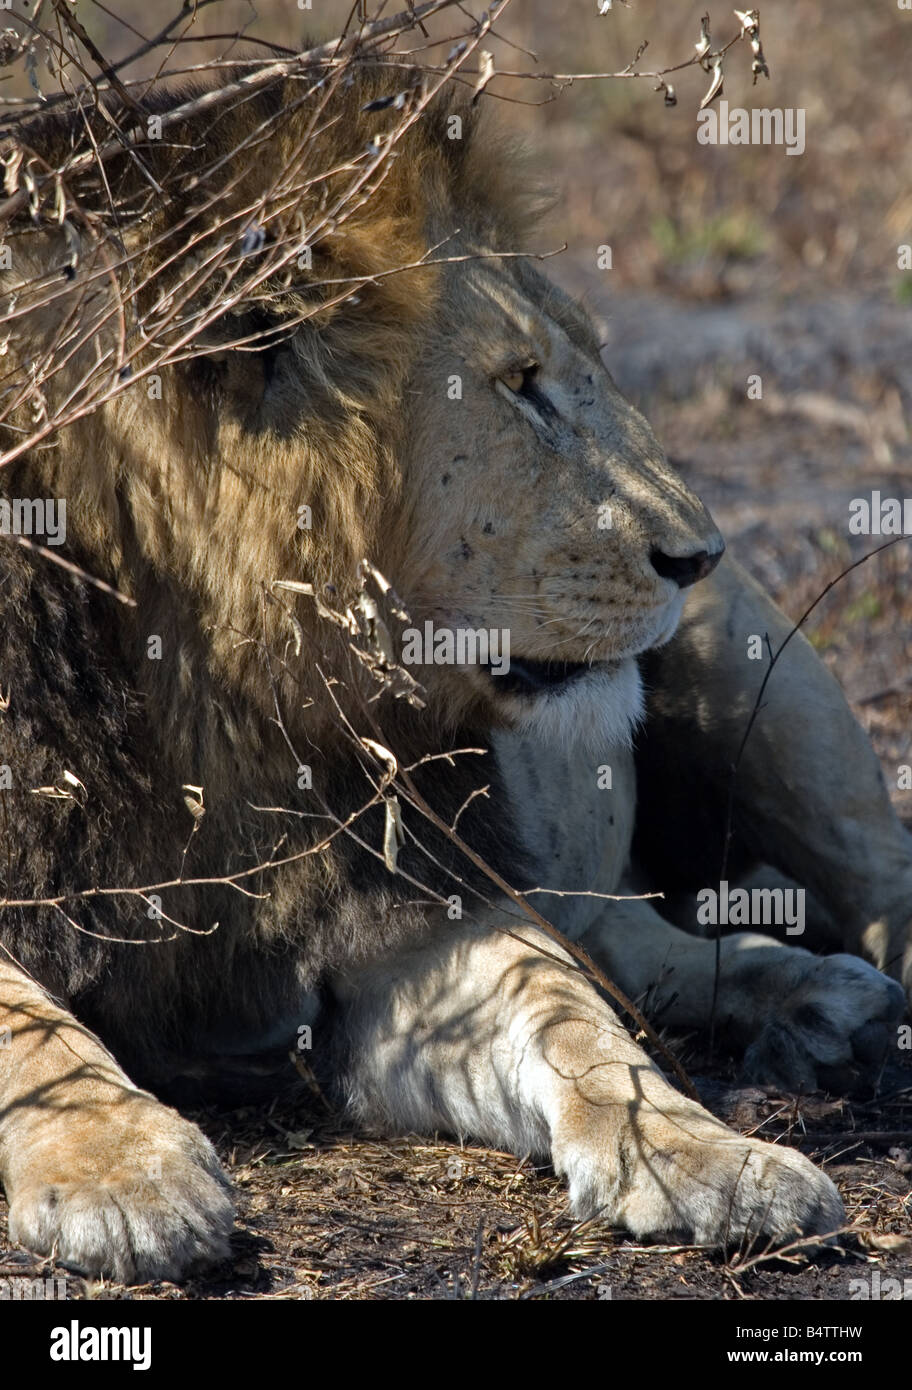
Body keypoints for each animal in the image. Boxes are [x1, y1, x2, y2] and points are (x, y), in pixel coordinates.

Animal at [0, 60, 910, 1283]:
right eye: (521, 383)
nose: (698, 553)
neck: (215, 681)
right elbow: (27, 1022)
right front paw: (120, 1166)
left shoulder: (406, 901)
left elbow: (567, 1010)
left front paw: (706, 1155)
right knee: (620, 931)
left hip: (766, 680)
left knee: (823, 887)